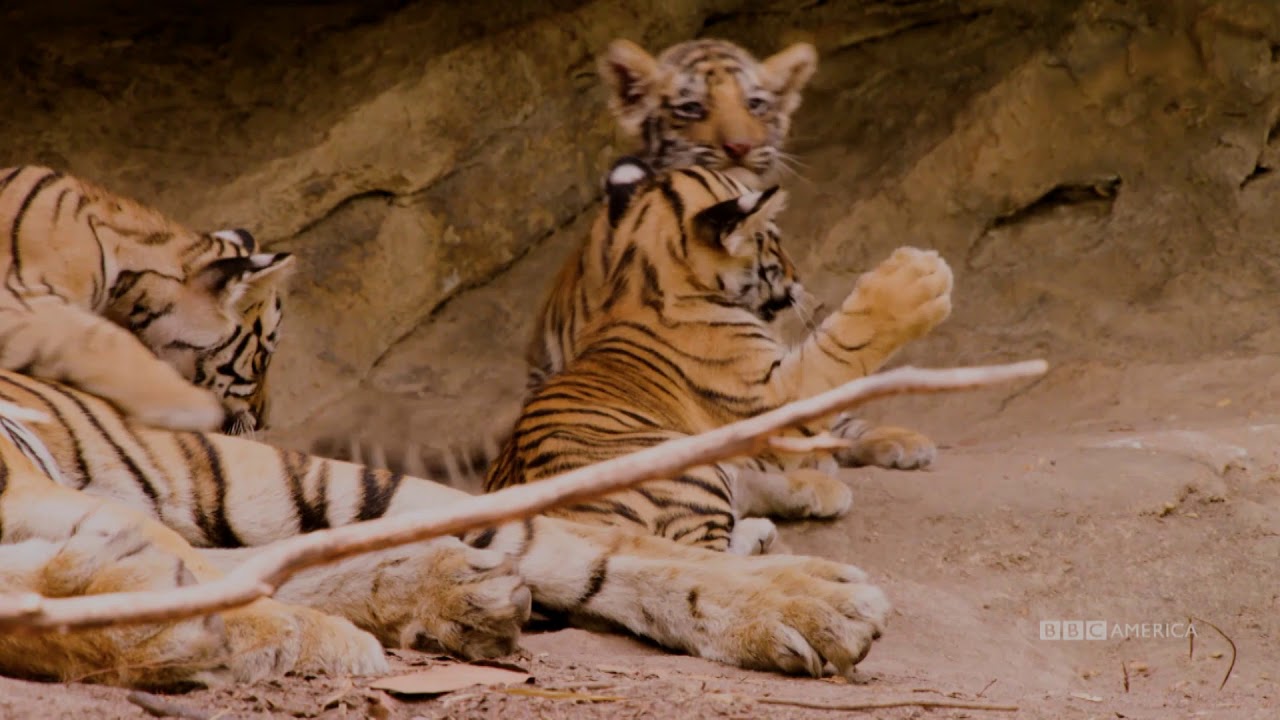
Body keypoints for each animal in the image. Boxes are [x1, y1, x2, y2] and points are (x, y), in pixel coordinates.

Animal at [483, 159, 952, 554]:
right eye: (772, 242)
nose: (799, 278)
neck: (640, 279)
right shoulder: (774, 400)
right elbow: (839, 354)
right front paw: (914, 282)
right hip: (679, 469)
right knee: (704, 556)